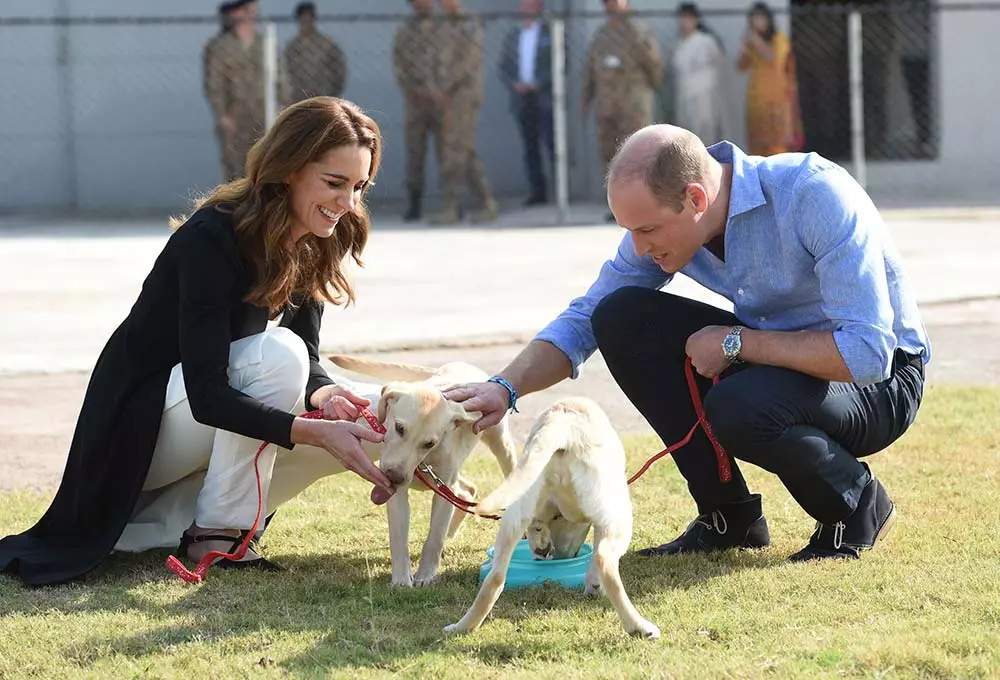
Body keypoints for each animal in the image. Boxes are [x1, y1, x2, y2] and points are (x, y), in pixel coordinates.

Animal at [330, 358, 520, 588]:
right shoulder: (399, 493)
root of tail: (464, 364)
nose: (394, 477)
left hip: (499, 443)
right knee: (466, 490)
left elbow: (434, 538)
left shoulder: (443, 487)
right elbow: (399, 538)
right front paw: (401, 580)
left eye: (429, 443)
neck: (422, 463)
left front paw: (426, 576)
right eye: (399, 428)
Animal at [444, 396, 660, 640]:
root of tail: (562, 424)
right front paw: (593, 585)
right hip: (618, 512)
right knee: (604, 559)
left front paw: (541, 542)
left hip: (517, 505)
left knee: (496, 577)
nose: (555, 554)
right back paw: (640, 627)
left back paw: (462, 627)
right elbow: (595, 556)